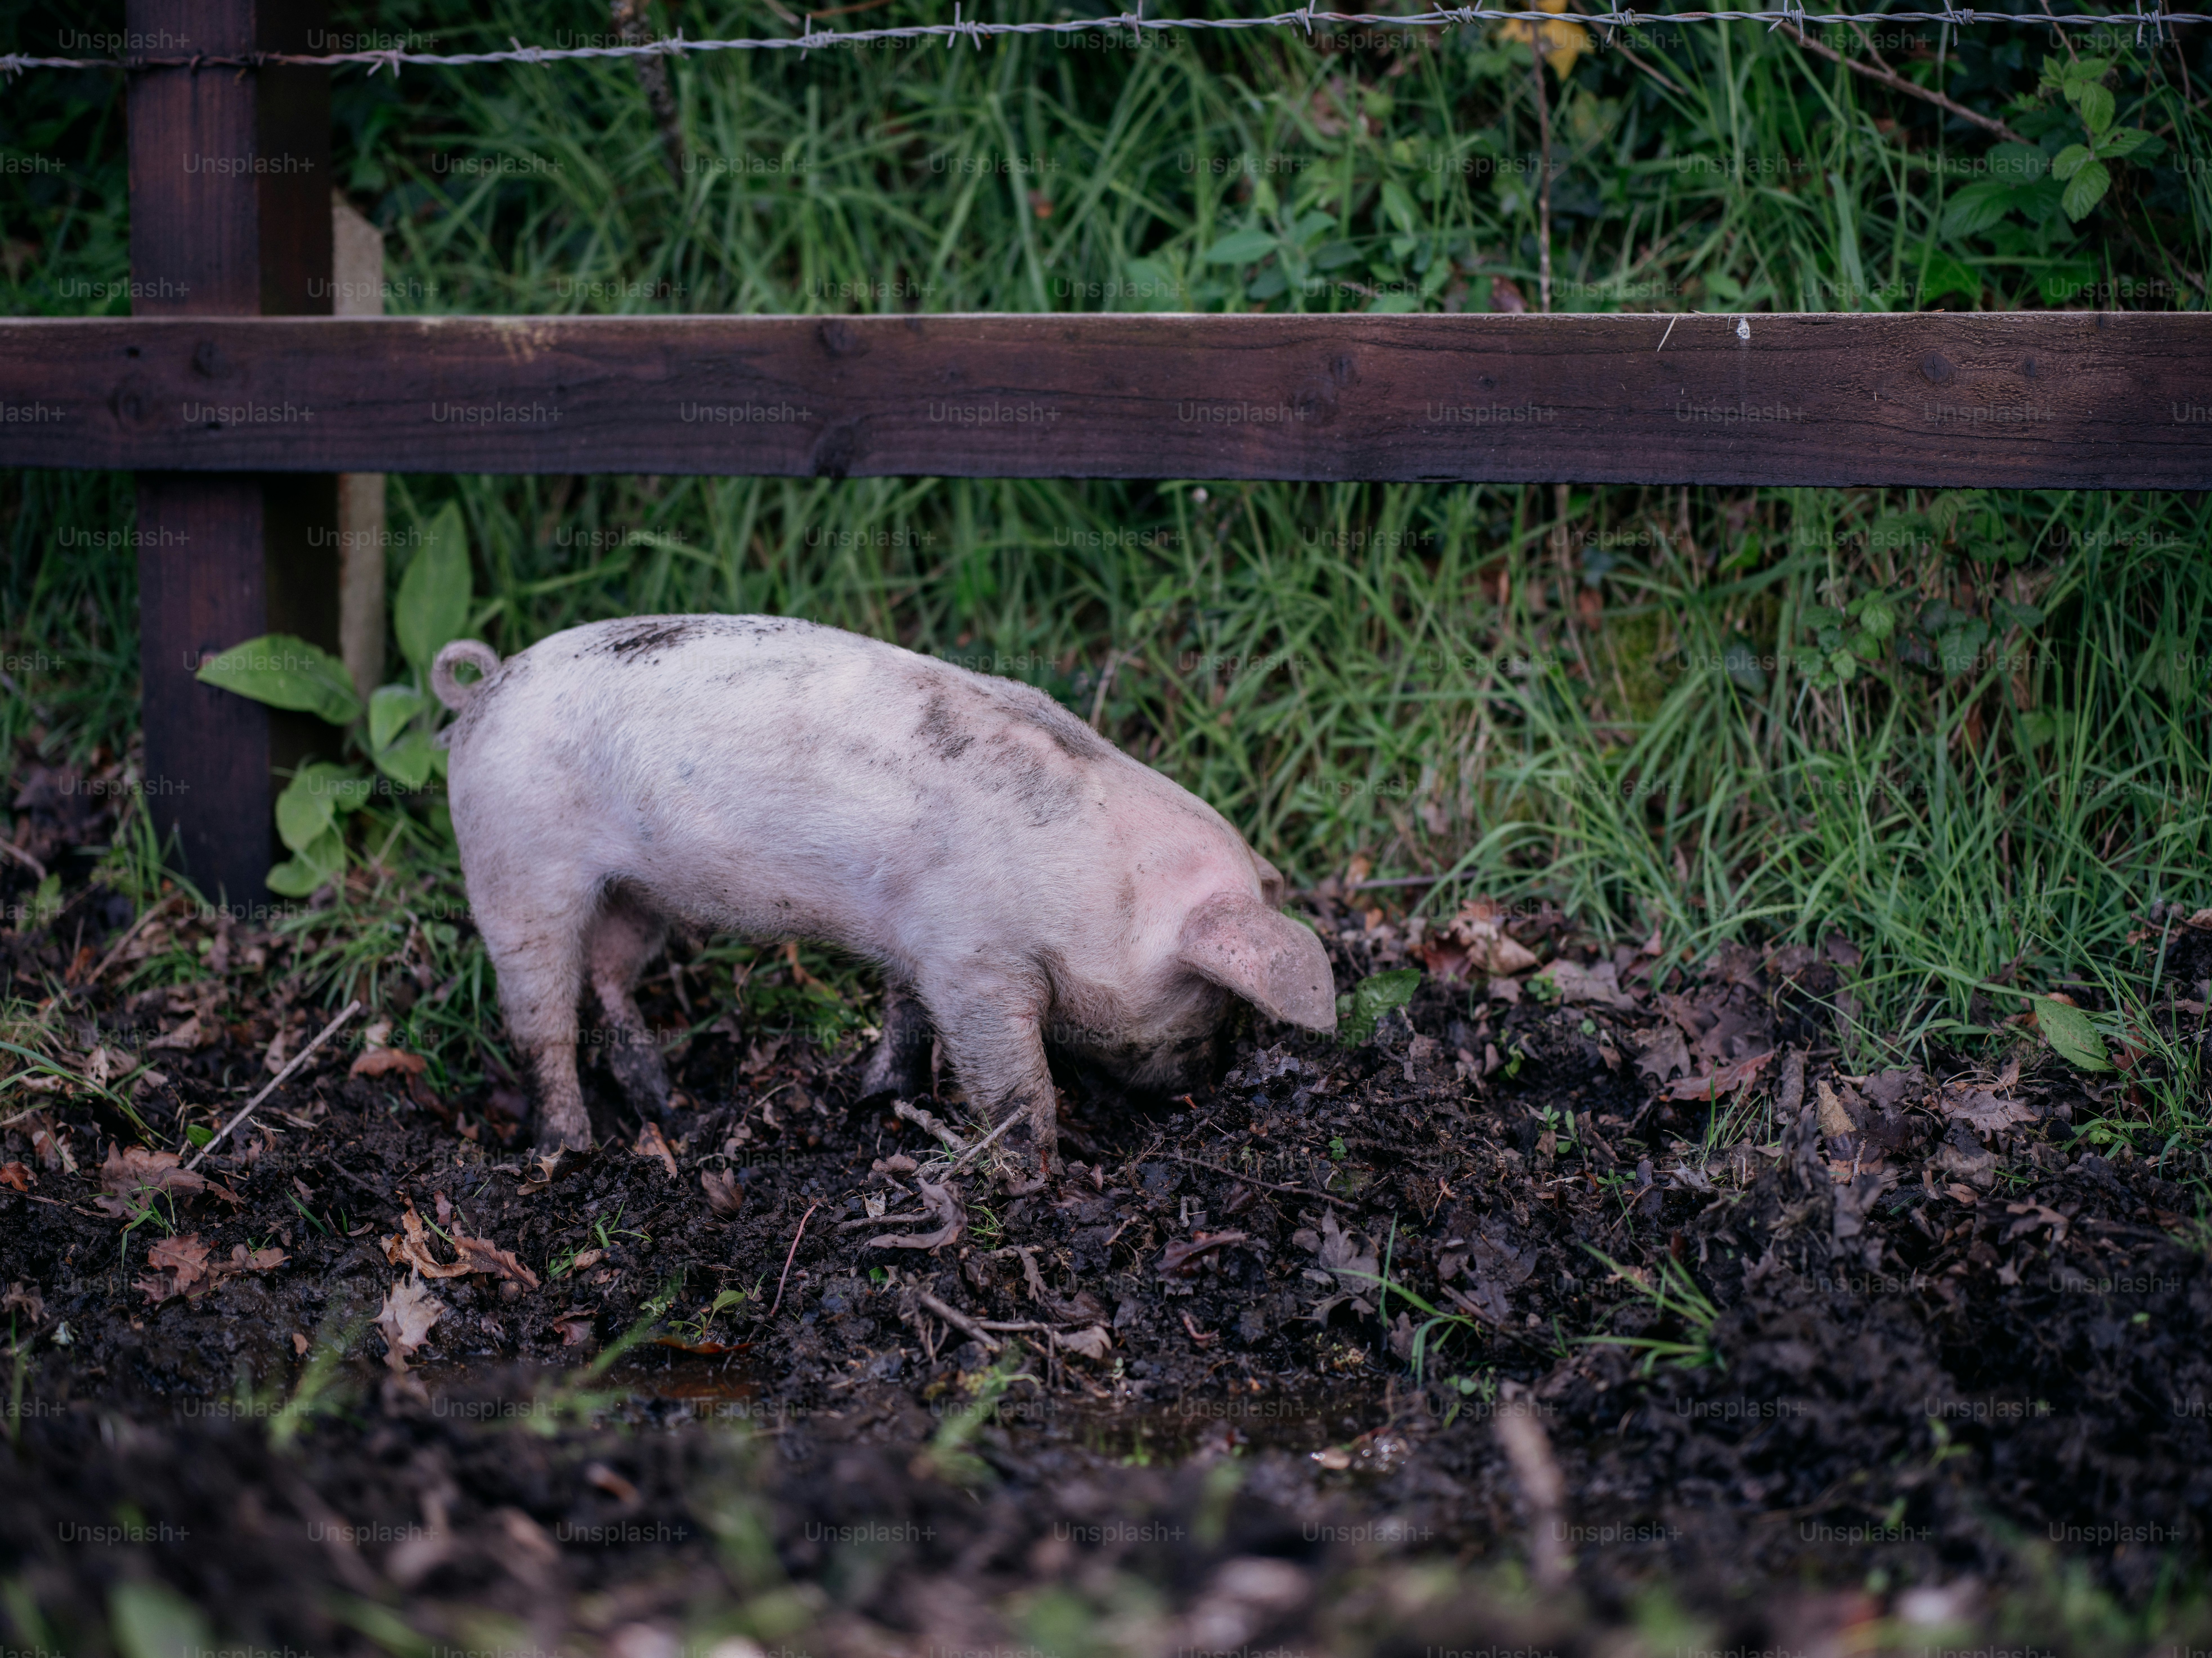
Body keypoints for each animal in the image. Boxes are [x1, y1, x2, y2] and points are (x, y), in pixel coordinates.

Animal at [430, 614, 1336, 1167]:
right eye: (1205, 999)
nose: (1203, 1081)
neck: (1103, 888)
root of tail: (485, 686)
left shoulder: (918, 936)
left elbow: (904, 1015)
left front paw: (877, 1102)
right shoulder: (973, 961)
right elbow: (1013, 1080)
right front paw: (1038, 1172)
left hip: (635, 890)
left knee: (611, 977)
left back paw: (675, 1109)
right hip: (514, 863)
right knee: (542, 1018)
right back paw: (568, 1148)